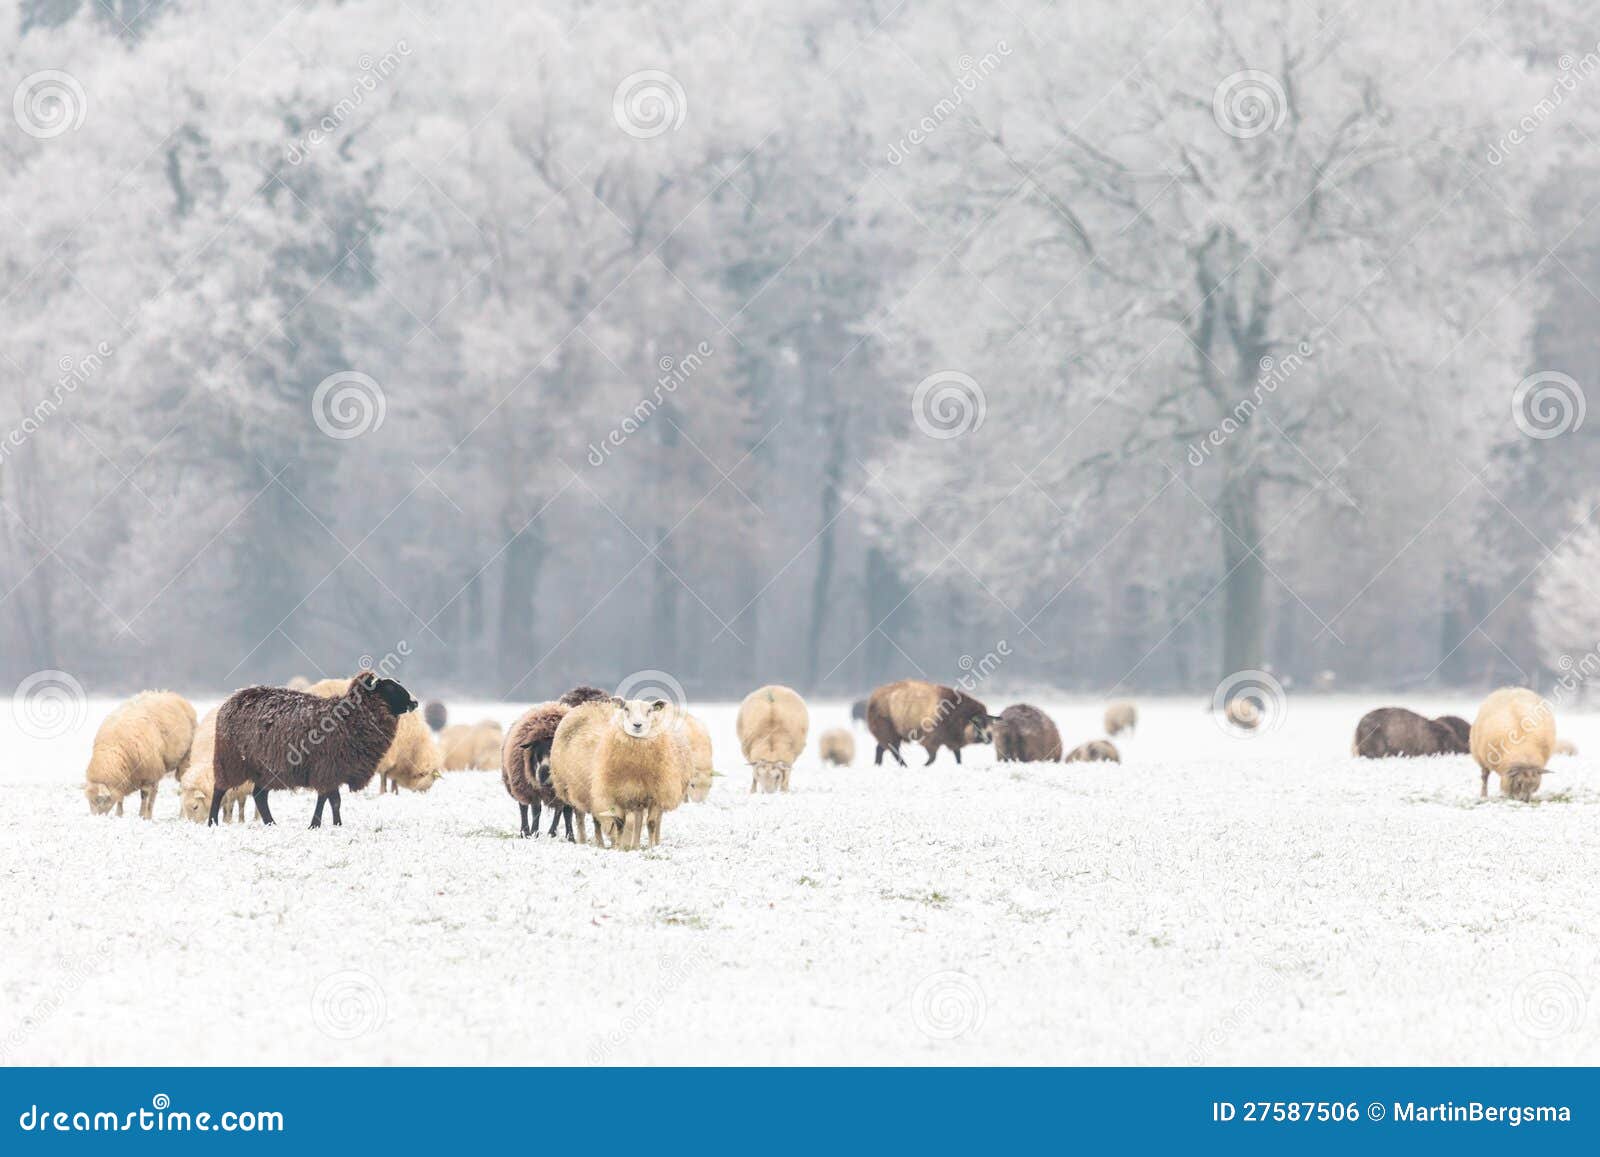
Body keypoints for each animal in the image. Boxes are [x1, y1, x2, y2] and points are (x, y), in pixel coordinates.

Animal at [211, 671, 417, 827]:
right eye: (390, 687)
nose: (415, 702)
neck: (351, 720)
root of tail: (230, 700)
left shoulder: (335, 770)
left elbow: (335, 801)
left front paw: (337, 824)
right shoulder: (326, 768)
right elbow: (325, 799)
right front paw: (315, 825)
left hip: (263, 769)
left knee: (259, 796)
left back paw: (271, 823)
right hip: (230, 760)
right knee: (219, 789)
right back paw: (212, 822)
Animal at [308, 677, 442, 793]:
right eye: (431, 779)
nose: (424, 792)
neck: (413, 745)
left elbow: (393, 781)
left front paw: (394, 792)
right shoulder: (388, 757)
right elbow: (384, 779)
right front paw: (384, 793)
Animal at [550, 697, 691, 849]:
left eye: (649, 711)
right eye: (626, 709)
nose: (637, 725)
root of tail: (588, 704)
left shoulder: (655, 794)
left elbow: (650, 823)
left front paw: (649, 847)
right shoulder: (614, 794)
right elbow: (619, 822)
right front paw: (618, 847)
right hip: (572, 788)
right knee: (581, 816)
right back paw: (585, 841)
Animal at [865, 679, 995, 768]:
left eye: (988, 722)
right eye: (978, 723)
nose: (990, 737)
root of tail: (874, 697)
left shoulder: (951, 738)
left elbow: (958, 755)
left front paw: (959, 765)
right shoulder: (932, 739)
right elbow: (933, 757)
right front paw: (924, 765)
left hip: (891, 734)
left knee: (881, 748)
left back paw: (878, 764)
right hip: (887, 730)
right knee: (893, 750)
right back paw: (903, 765)